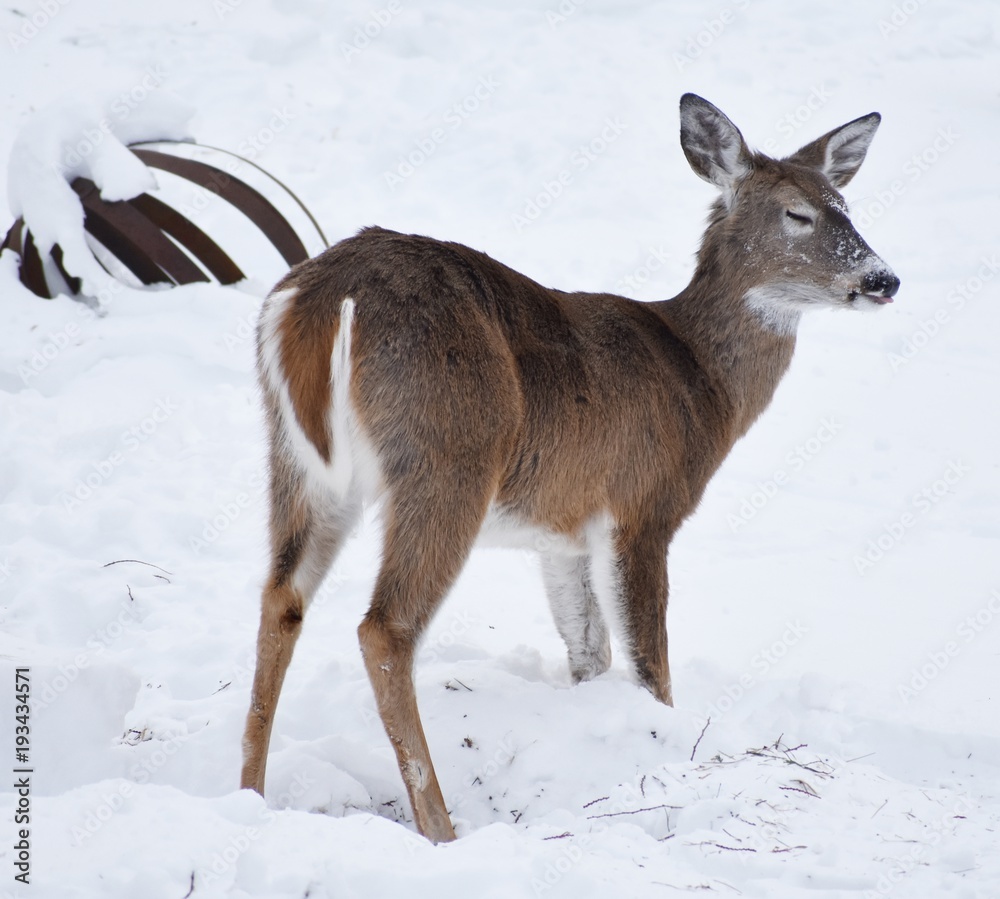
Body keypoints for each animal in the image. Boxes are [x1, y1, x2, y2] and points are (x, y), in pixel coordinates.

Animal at [240, 94, 899, 843]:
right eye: (798, 213)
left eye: (845, 204)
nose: (883, 278)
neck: (701, 380)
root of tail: (325, 296)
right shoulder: (642, 505)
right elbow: (648, 662)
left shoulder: (562, 529)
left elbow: (589, 652)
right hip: (449, 454)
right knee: (384, 625)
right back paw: (441, 825)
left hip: (298, 458)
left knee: (281, 596)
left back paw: (249, 793)